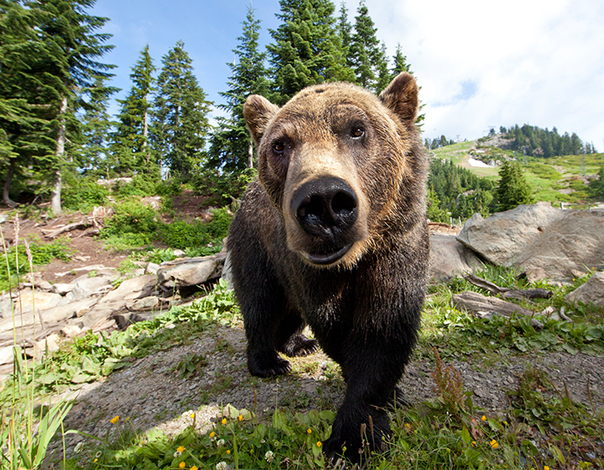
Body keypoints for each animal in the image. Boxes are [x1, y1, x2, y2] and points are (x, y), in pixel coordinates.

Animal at [226, 73, 430, 462]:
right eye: (280, 145)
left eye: (357, 129)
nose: (323, 202)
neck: (354, 260)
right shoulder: (306, 268)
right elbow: (334, 325)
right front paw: (351, 440)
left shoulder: (397, 249)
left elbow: (384, 327)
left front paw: (369, 417)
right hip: (255, 247)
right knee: (261, 302)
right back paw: (268, 360)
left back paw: (297, 344)